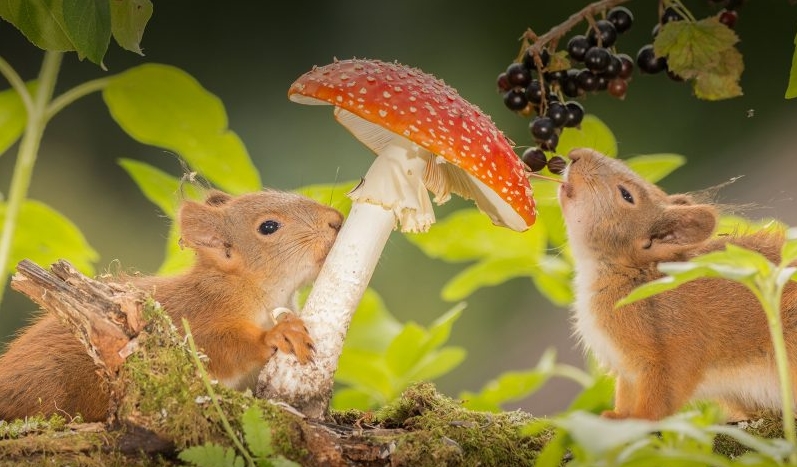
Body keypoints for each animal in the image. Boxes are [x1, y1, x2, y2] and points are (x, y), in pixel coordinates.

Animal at [559, 147, 797, 421]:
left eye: (626, 195)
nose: (577, 153)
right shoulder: (626, 367)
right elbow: (625, 395)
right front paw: (617, 415)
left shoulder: (676, 340)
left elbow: (661, 395)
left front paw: (639, 418)